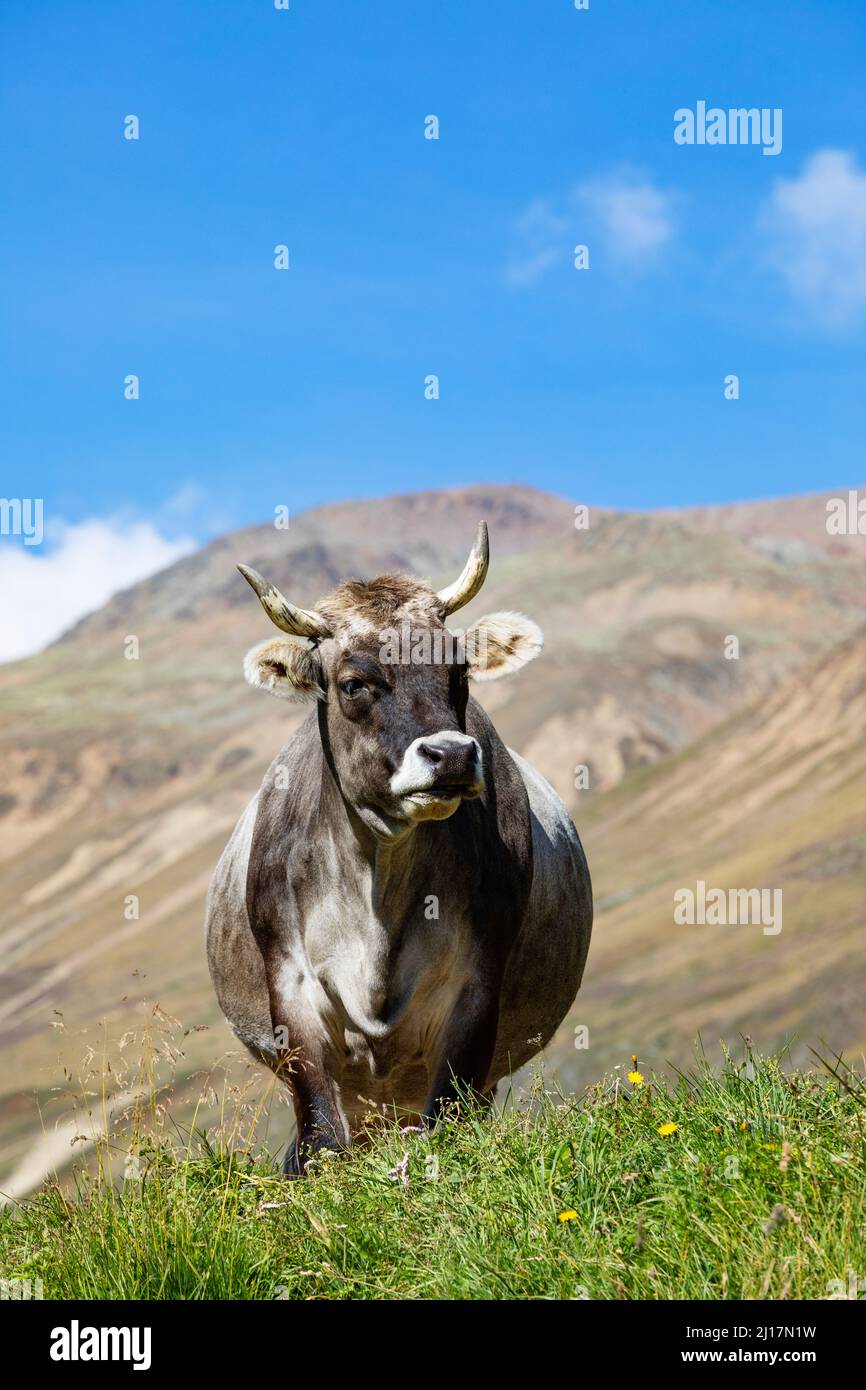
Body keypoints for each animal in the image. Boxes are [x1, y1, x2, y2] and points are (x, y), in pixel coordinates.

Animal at [205, 522, 592, 1174]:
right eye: (352, 683)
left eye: (459, 674)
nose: (452, 756)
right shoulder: (290, 986)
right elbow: (320, 1139)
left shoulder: (476, 988)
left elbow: (447, 1124)